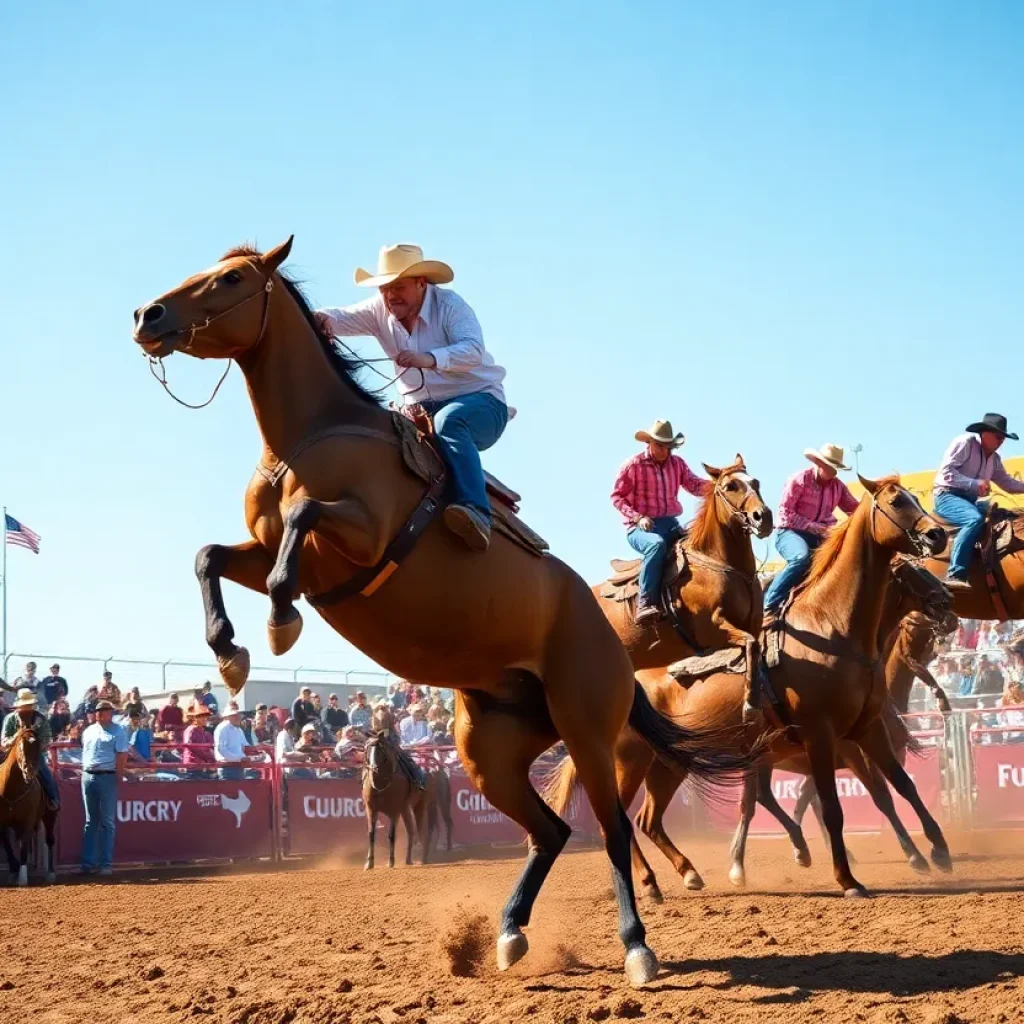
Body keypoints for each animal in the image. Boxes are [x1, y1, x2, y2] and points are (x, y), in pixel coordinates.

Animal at [0, 729, 57, 888]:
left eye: (38, 746)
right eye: (21, 745)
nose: (30, 770)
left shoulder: (27, 821)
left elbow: (24, 846)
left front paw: (22, 877)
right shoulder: (2, 823)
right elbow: (7, 844)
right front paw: (13, 871)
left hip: (50, 817)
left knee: (50, 840)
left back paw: (51, 873)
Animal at [132, 237, 757, 983]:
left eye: (229, 278)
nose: (148, 313)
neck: (313, 438)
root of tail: (613, 645)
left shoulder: (359, 535)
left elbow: (303, 520)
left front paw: (279, 625)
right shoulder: (268, 553)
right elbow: (211, 557)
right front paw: (231, 652)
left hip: (586, 731)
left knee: (607, 830)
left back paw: (636, 946)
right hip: (488, 752)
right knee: (549, 832)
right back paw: (510, 933)